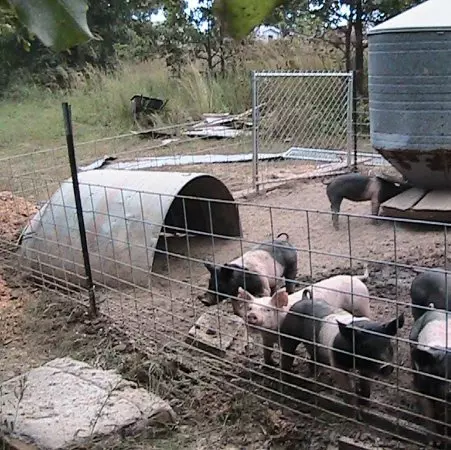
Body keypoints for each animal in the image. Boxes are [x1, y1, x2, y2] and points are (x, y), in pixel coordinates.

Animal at [237, 268, 370, 366]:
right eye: (250, 308)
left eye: (267, 310)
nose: (251, 315)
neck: (272, 332)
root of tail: (355, 278)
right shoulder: (266, 338)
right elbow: (267, 351)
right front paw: (269, 364)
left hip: (362, 305)